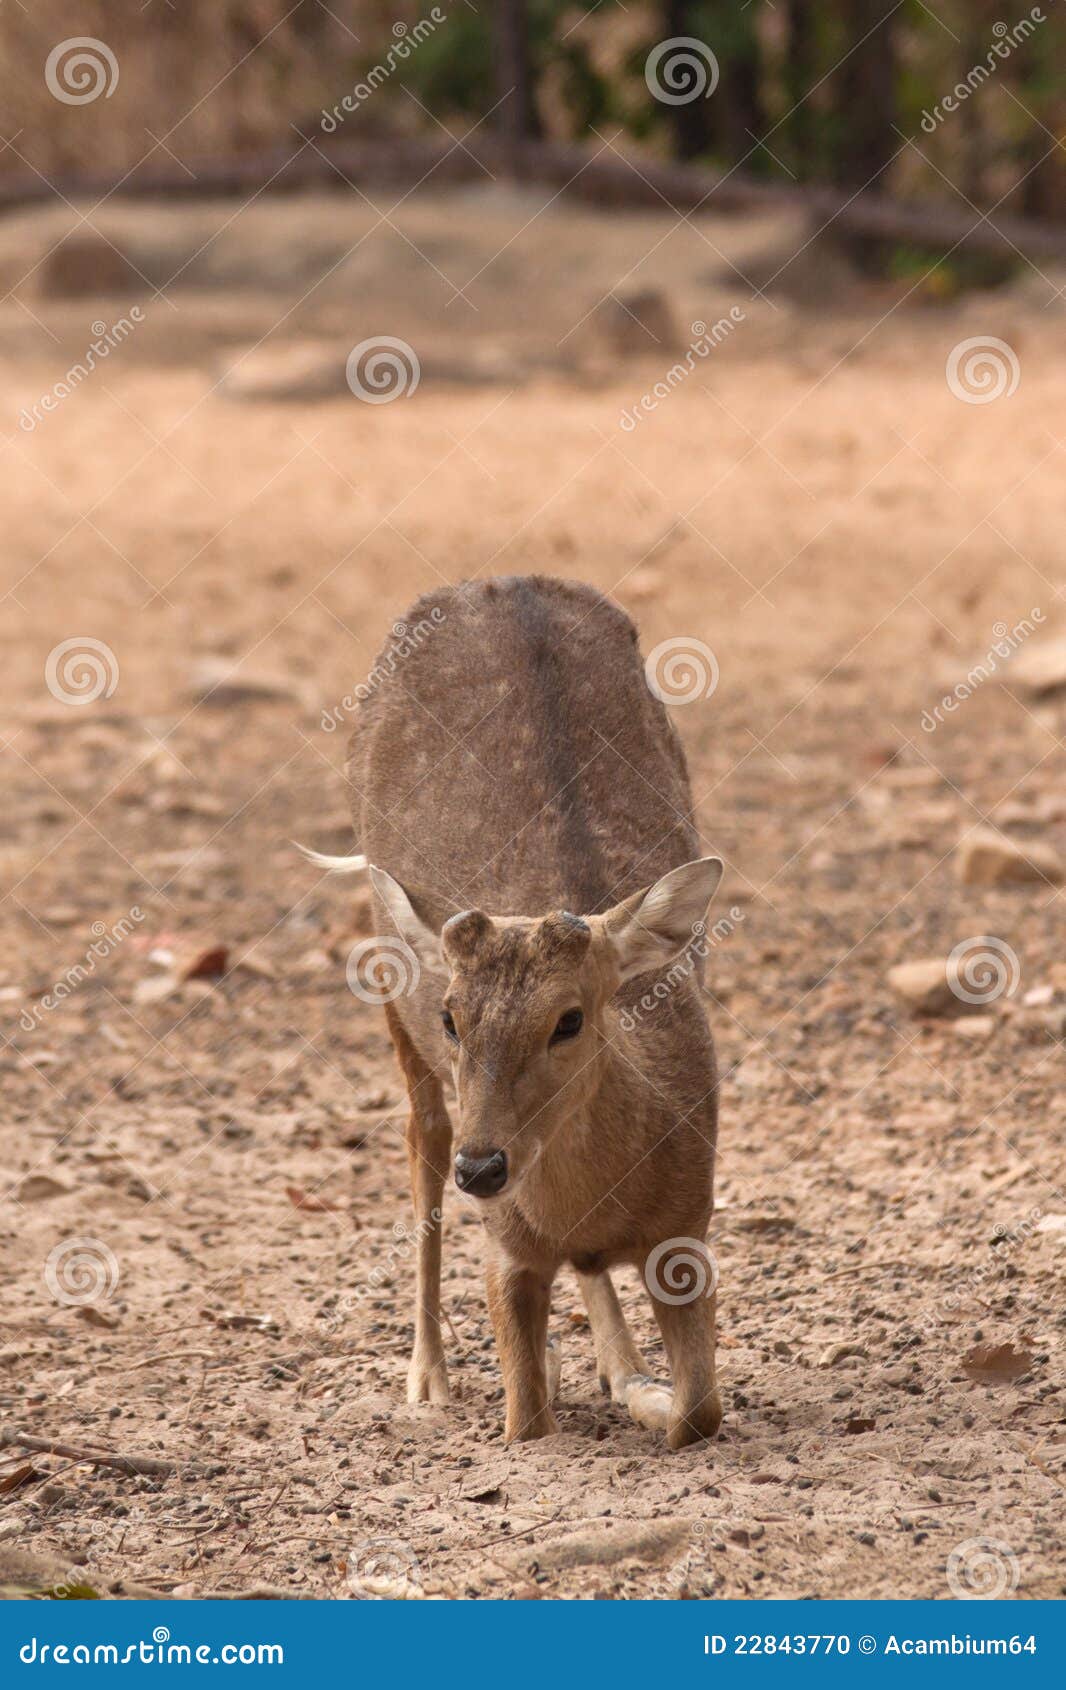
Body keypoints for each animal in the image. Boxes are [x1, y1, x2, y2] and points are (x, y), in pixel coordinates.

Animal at [303, 575, 724, 1450]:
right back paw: (427, 1377)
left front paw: (647, 1389)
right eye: (453, 1016)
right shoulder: (507, 1249)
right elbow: (525, 1422)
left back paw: (619, 1365)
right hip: (392, 996)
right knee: (419, 1140)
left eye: (569, 1018)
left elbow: (701, 1410)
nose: (486, 1167)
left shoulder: (689, 1223)